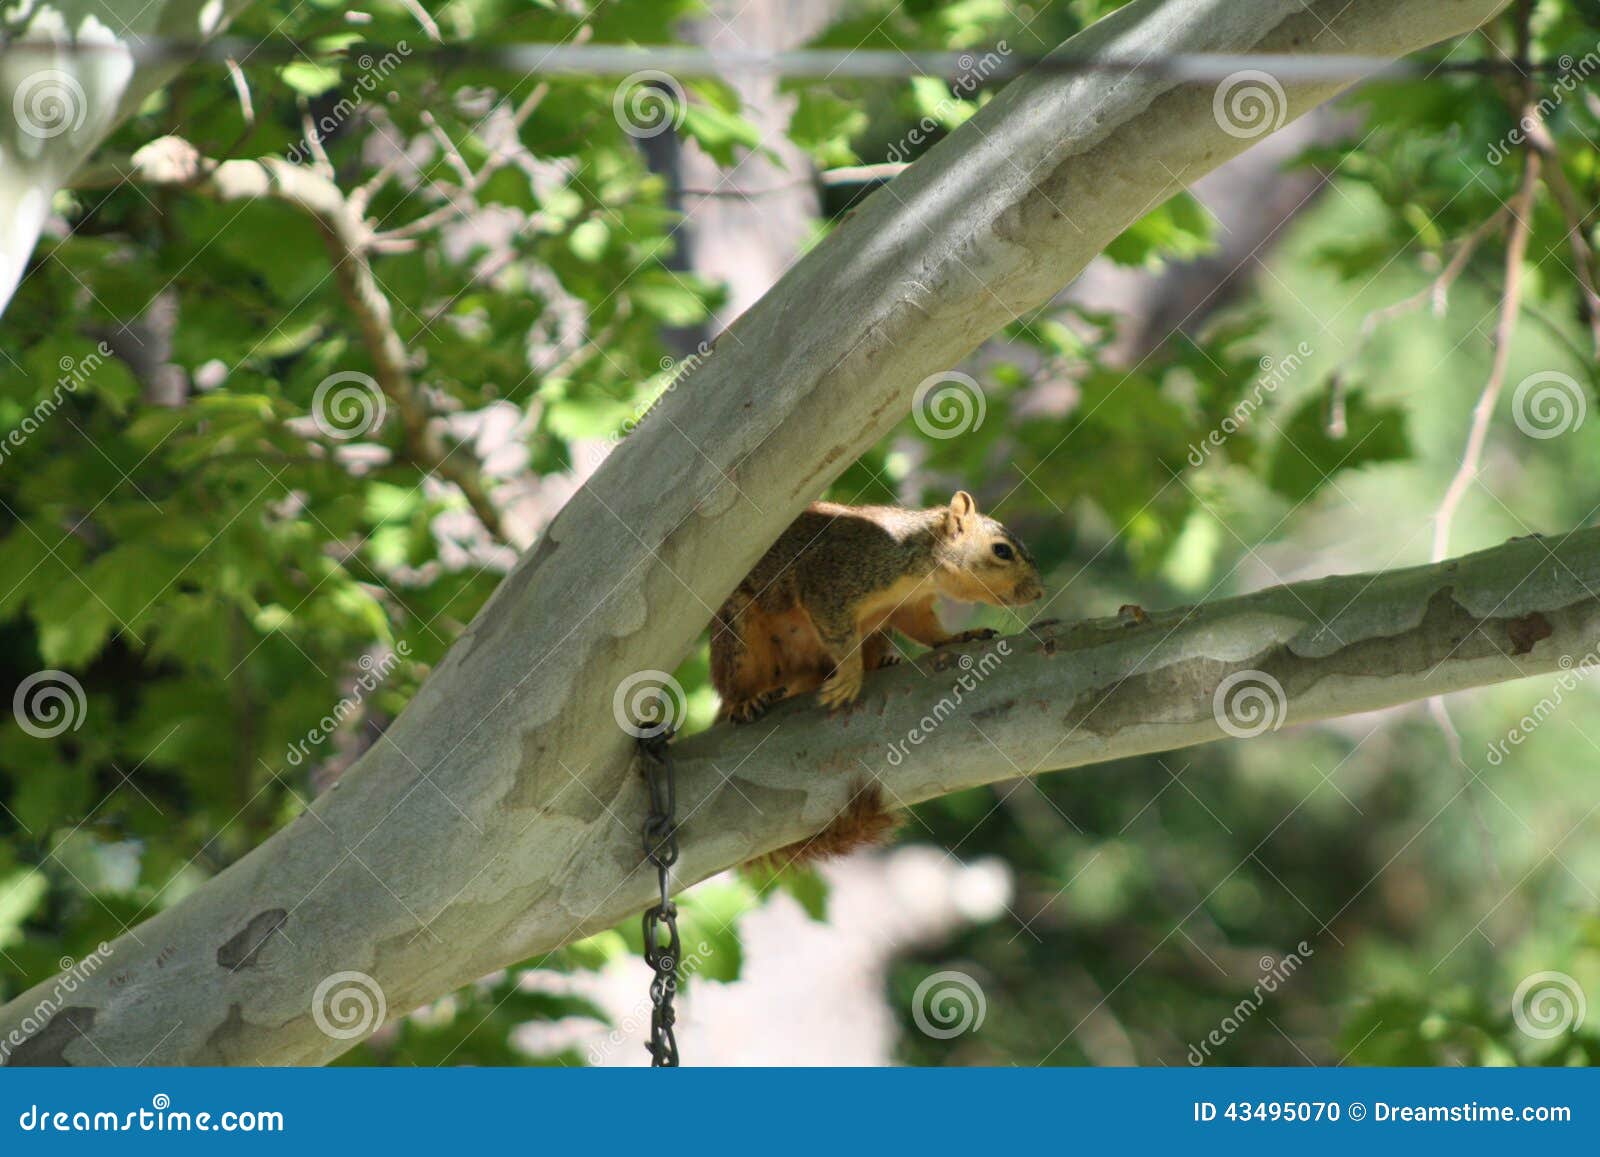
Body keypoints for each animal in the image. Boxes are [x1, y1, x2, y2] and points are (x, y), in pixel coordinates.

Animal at [710, 491, 1044, 871]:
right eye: (1002, 550)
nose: (1039, 592)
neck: (923, 562)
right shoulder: (835, 580)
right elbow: (839, 633)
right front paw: (849, 676)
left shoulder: (909, 606)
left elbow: (927, 630)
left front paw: (961, 636)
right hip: (740, 634)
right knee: (736, 681)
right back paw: (745, 700)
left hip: (875, 632)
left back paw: (882, 662)